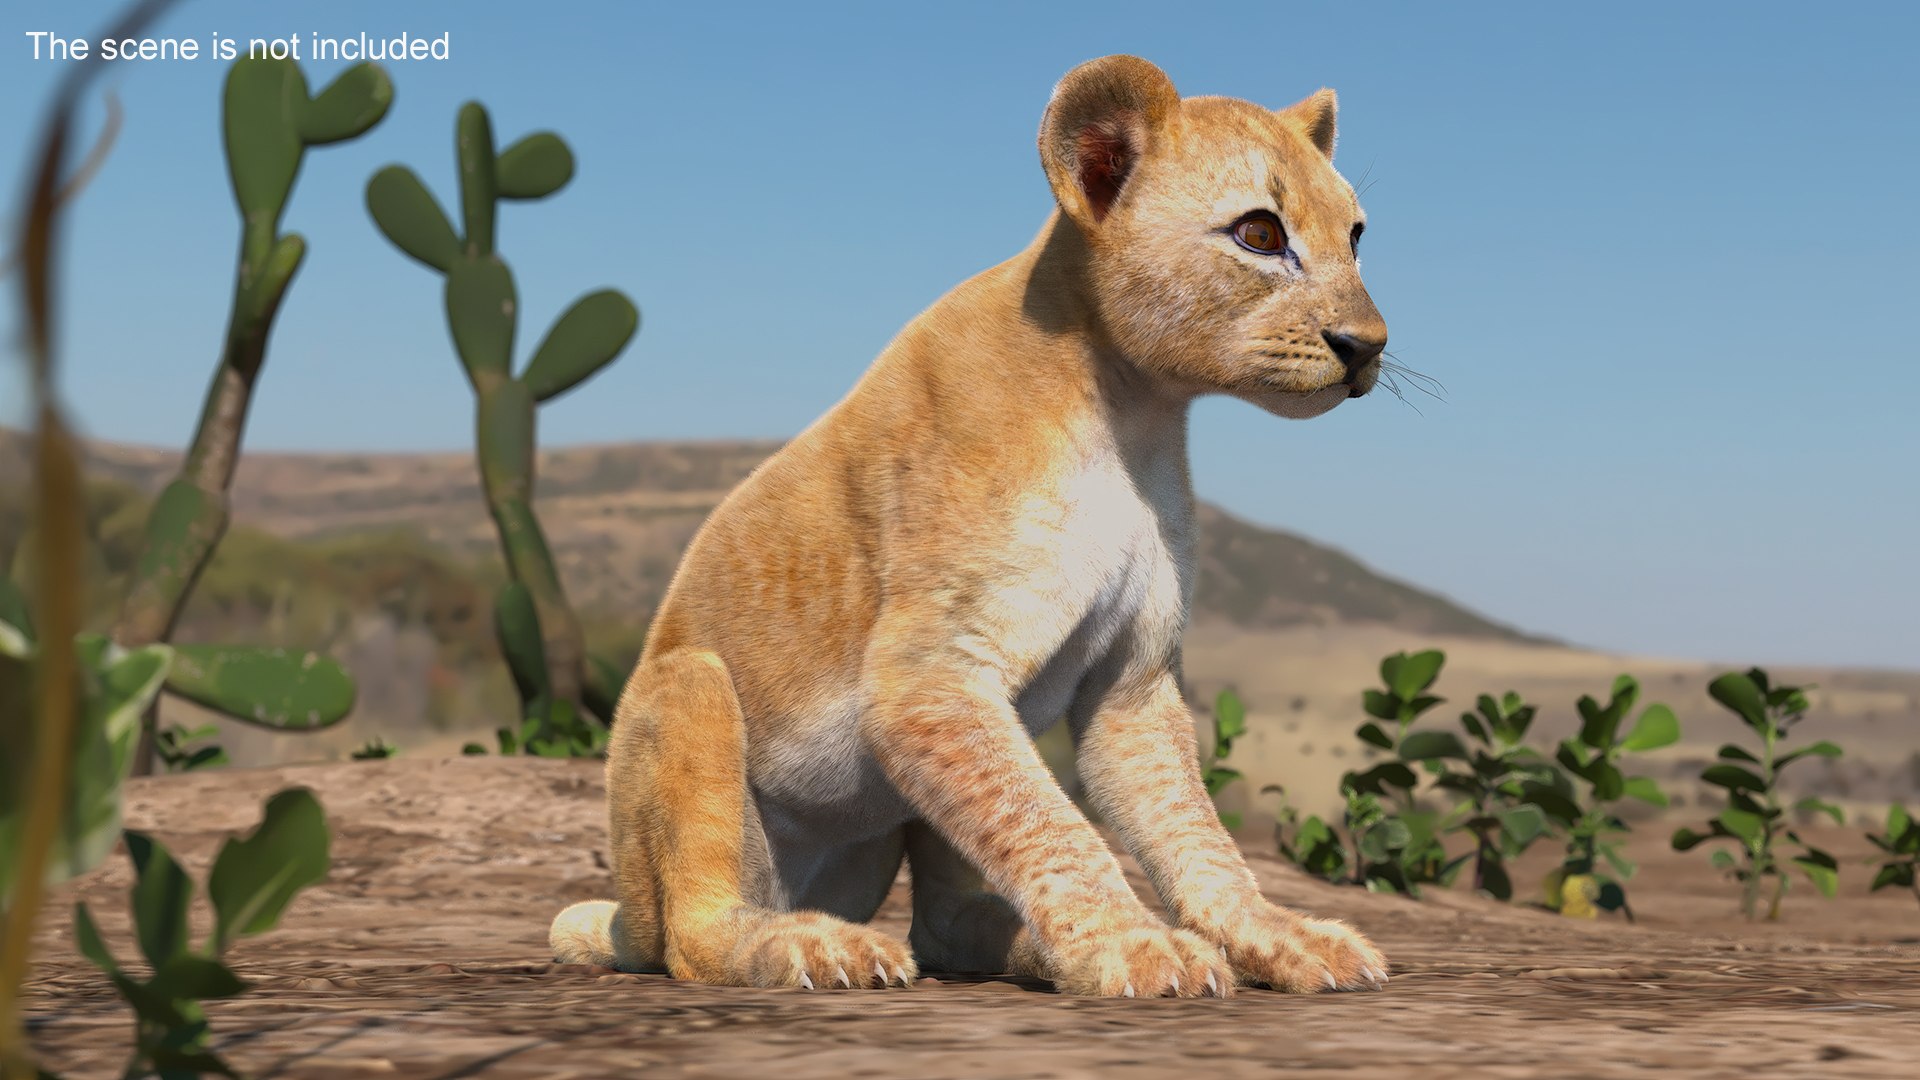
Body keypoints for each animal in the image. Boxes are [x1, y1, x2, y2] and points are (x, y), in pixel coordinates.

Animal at [550, 54, 1390, 997]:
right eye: (1259, 233)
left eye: (1356, 236)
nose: (1369, 346)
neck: (1132, 406)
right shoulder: (928, 680)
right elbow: (1054, 827)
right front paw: (1137, 946)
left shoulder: (1127, 685)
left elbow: (1190, 829)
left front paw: (1277, 936)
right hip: (690, 691)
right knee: (692, 937)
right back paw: (817, 946)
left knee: (948, 925)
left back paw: (1025, 951)